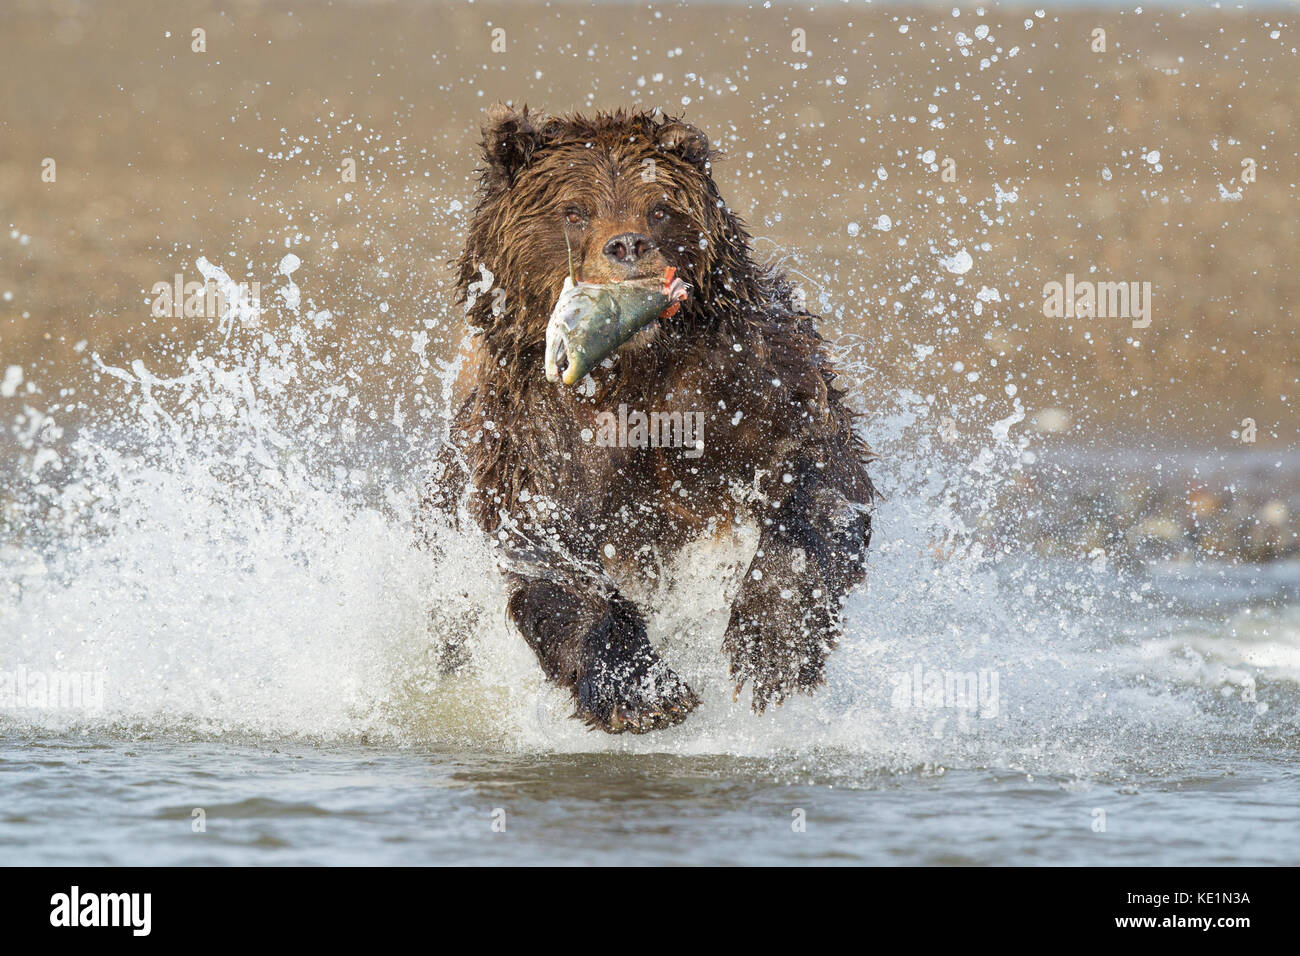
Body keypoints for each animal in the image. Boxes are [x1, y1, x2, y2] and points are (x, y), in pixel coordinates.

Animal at [421, 105, 875, 734]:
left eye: (659, 208)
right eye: (574, 211)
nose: (628, 245)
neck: (632, 370)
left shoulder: (746, 383)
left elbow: (819, 474)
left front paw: (771, 646)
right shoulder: (535, 434)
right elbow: (549, 548)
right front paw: (643, 694)